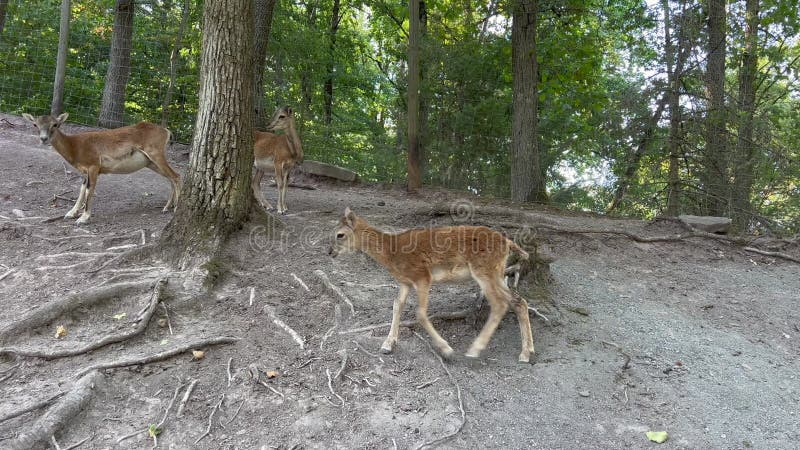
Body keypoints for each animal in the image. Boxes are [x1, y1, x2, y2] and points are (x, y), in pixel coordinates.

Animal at [22, 112, 181, 224]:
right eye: (35, 124)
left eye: (55, 124)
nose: (43, 139)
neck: (75, 146)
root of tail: (166, 132)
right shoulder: (85, 171)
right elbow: (81, 189)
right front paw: (70, 214)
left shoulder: (94, 167)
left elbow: (89, 190)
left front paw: (83, 219)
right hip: (151, 163)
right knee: (171, 178)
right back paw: (167, 207)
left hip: (156, 155)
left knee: (176, 176)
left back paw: (175, 208)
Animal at [328, 207, 536, 363]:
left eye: (340, 234)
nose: (329, 252)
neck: (391, 254)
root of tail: (508, 242)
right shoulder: (405, 282)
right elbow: (397, 305)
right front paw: (387, 344)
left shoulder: (422, 276)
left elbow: (420, 313)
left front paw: (447, 350)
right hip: (497, 273)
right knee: (519, 301)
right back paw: (526, 352)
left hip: (484, 271)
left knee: (500, 304)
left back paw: (474, 350)